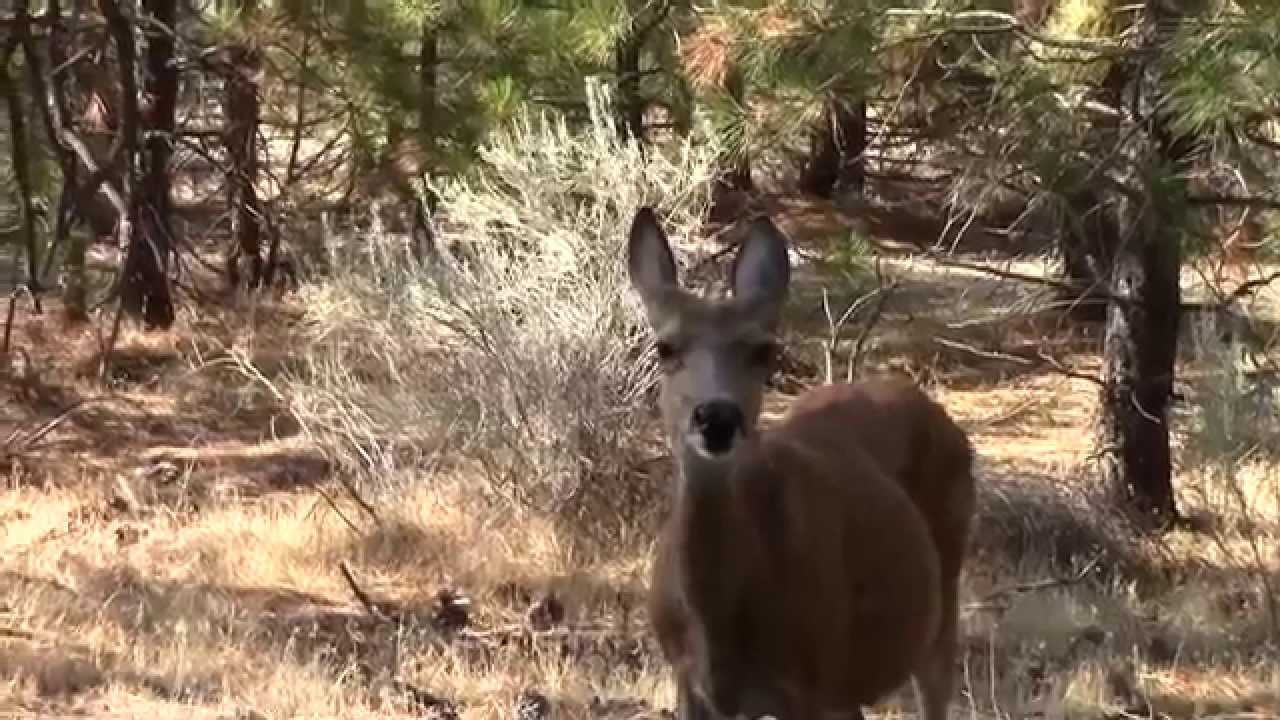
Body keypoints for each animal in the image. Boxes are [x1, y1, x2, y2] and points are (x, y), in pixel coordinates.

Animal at [627, 206, 976, 720]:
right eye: (665, 347)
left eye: (763, 350)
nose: (717, 417)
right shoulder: (689, 683)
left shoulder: (809, 682)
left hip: (940, 598)